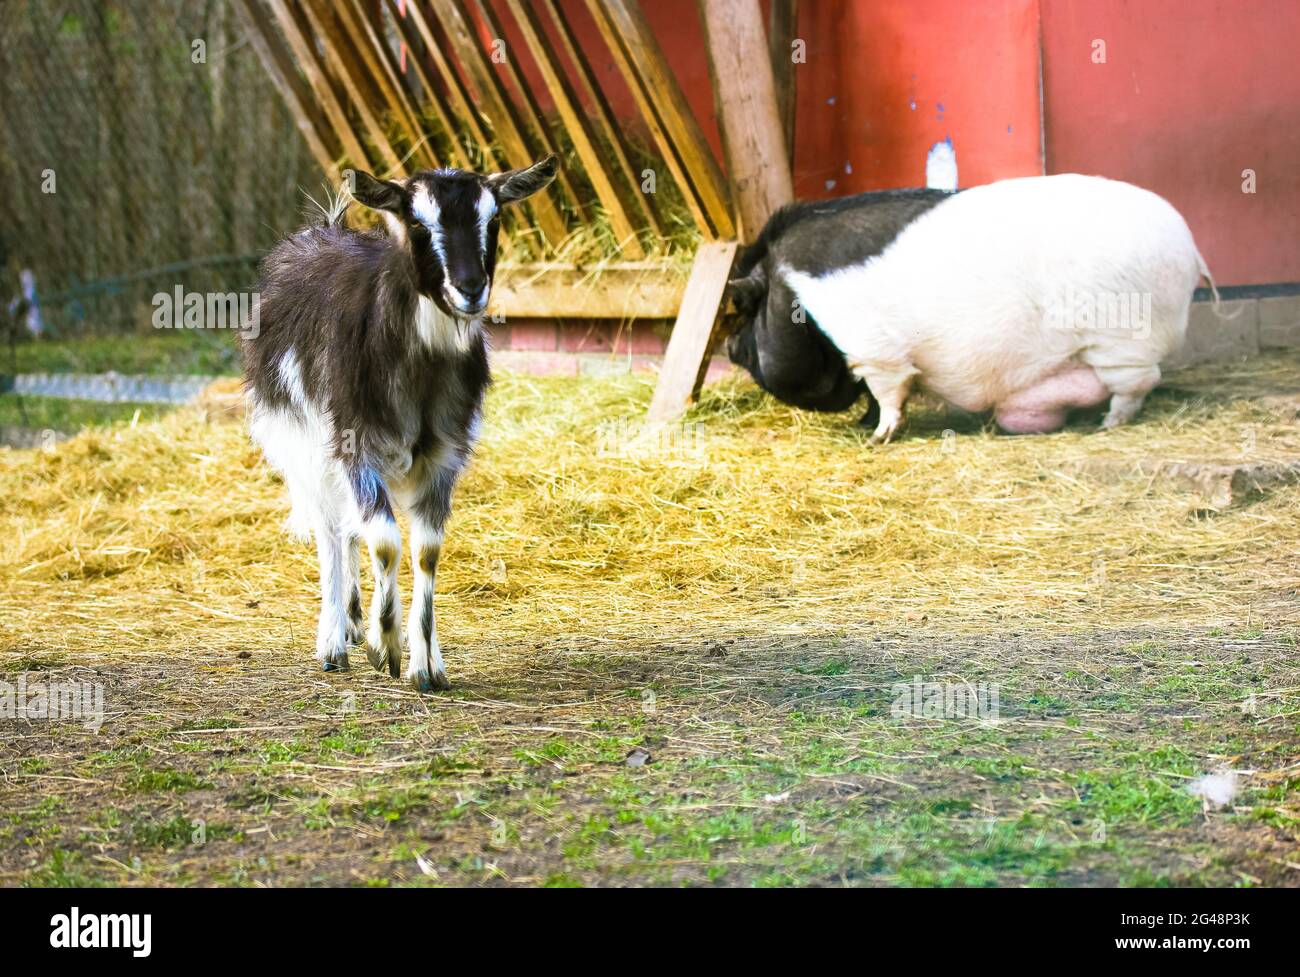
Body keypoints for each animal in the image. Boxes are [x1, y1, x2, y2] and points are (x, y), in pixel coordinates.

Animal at [242, 156, 558, 691]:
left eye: (493, 219)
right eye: (417, 224)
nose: (470, 289)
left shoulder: (443, 454)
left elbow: (425, 549)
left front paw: (426, 663)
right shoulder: (354, 445)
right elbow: (386, 542)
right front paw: (384, 644)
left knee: (350, 530)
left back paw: (352, 621)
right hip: (303, 442)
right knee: (332, 530)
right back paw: (335, 641)